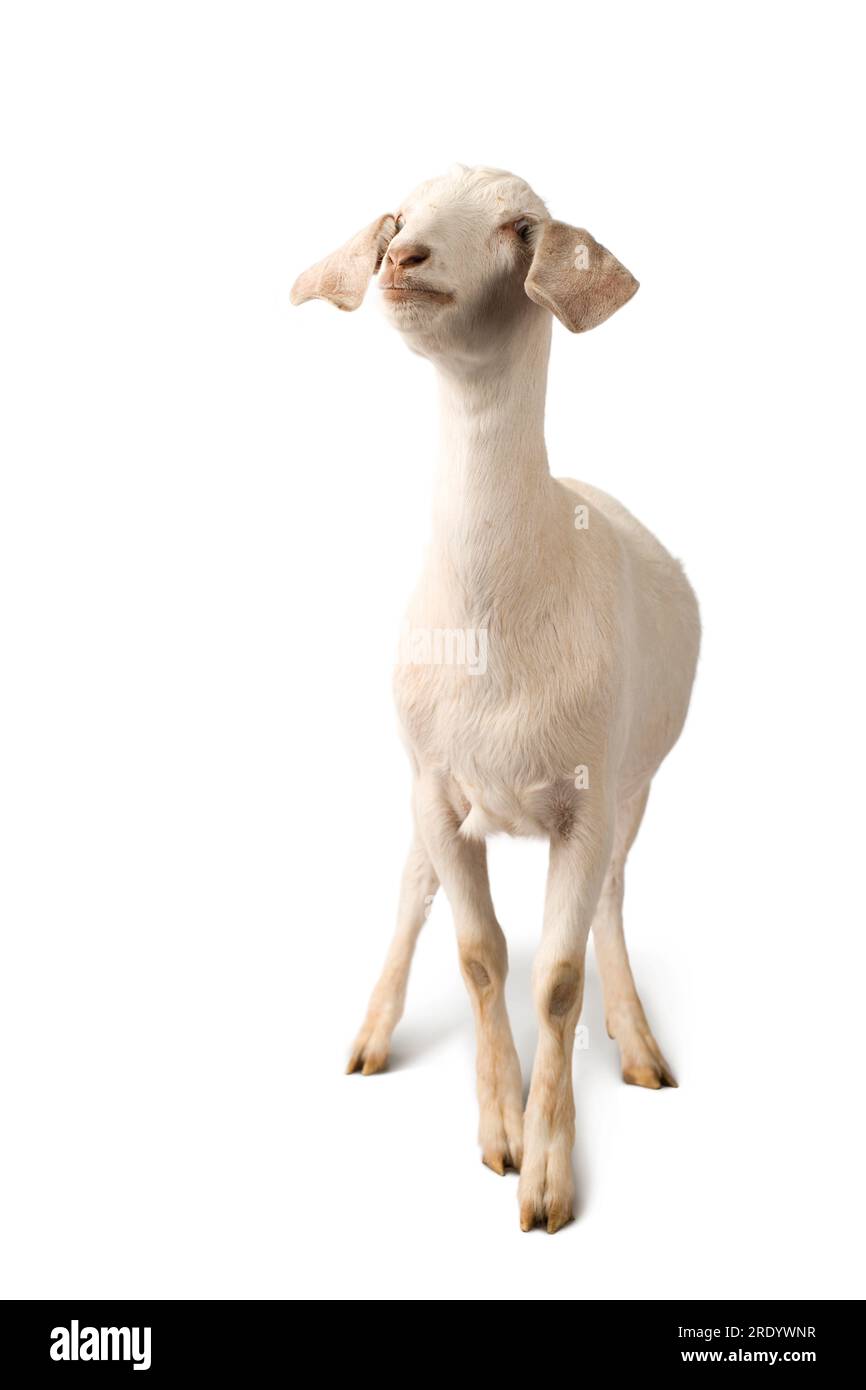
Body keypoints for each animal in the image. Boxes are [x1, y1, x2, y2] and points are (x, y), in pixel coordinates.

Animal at [292, 165, 700, 1233]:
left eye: (521, 227)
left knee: (612, 903)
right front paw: (503, 1133)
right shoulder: (437, 785)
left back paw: (639, 1047)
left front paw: (549, 1182)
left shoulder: (589, 798)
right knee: (411, 890)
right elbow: (480, 956)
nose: (402, 257)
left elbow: (555, 978)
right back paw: (369, 1040)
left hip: (637, 788)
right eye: (396, 214)